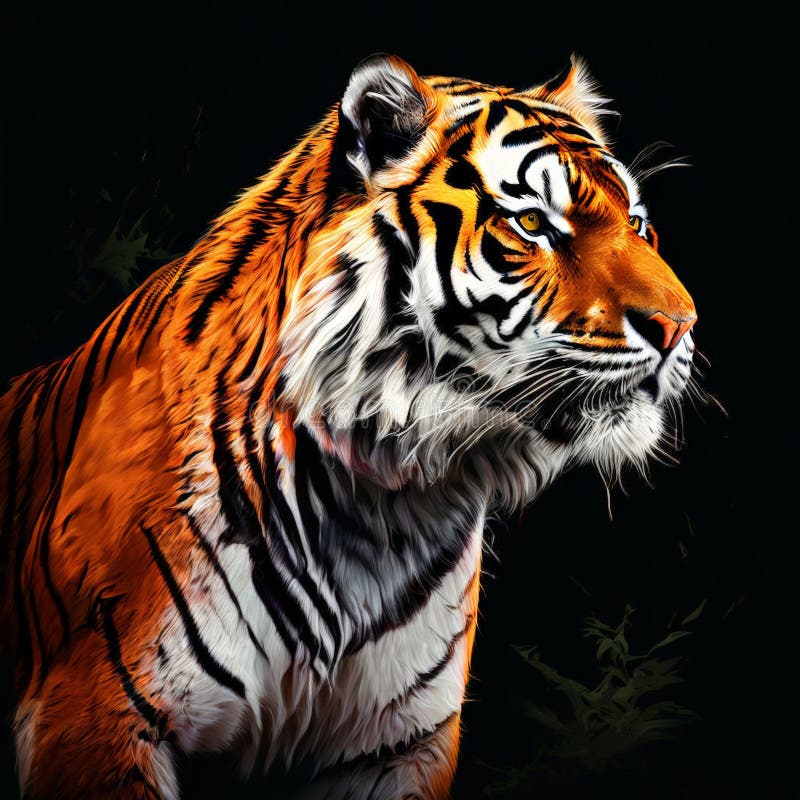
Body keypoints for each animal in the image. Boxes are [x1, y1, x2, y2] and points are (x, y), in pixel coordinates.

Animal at [0, 54, 697, 798]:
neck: (381, 507)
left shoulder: (397, 743)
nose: (680, 324)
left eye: (639, 223)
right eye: (534, 224)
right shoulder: (96, 711)